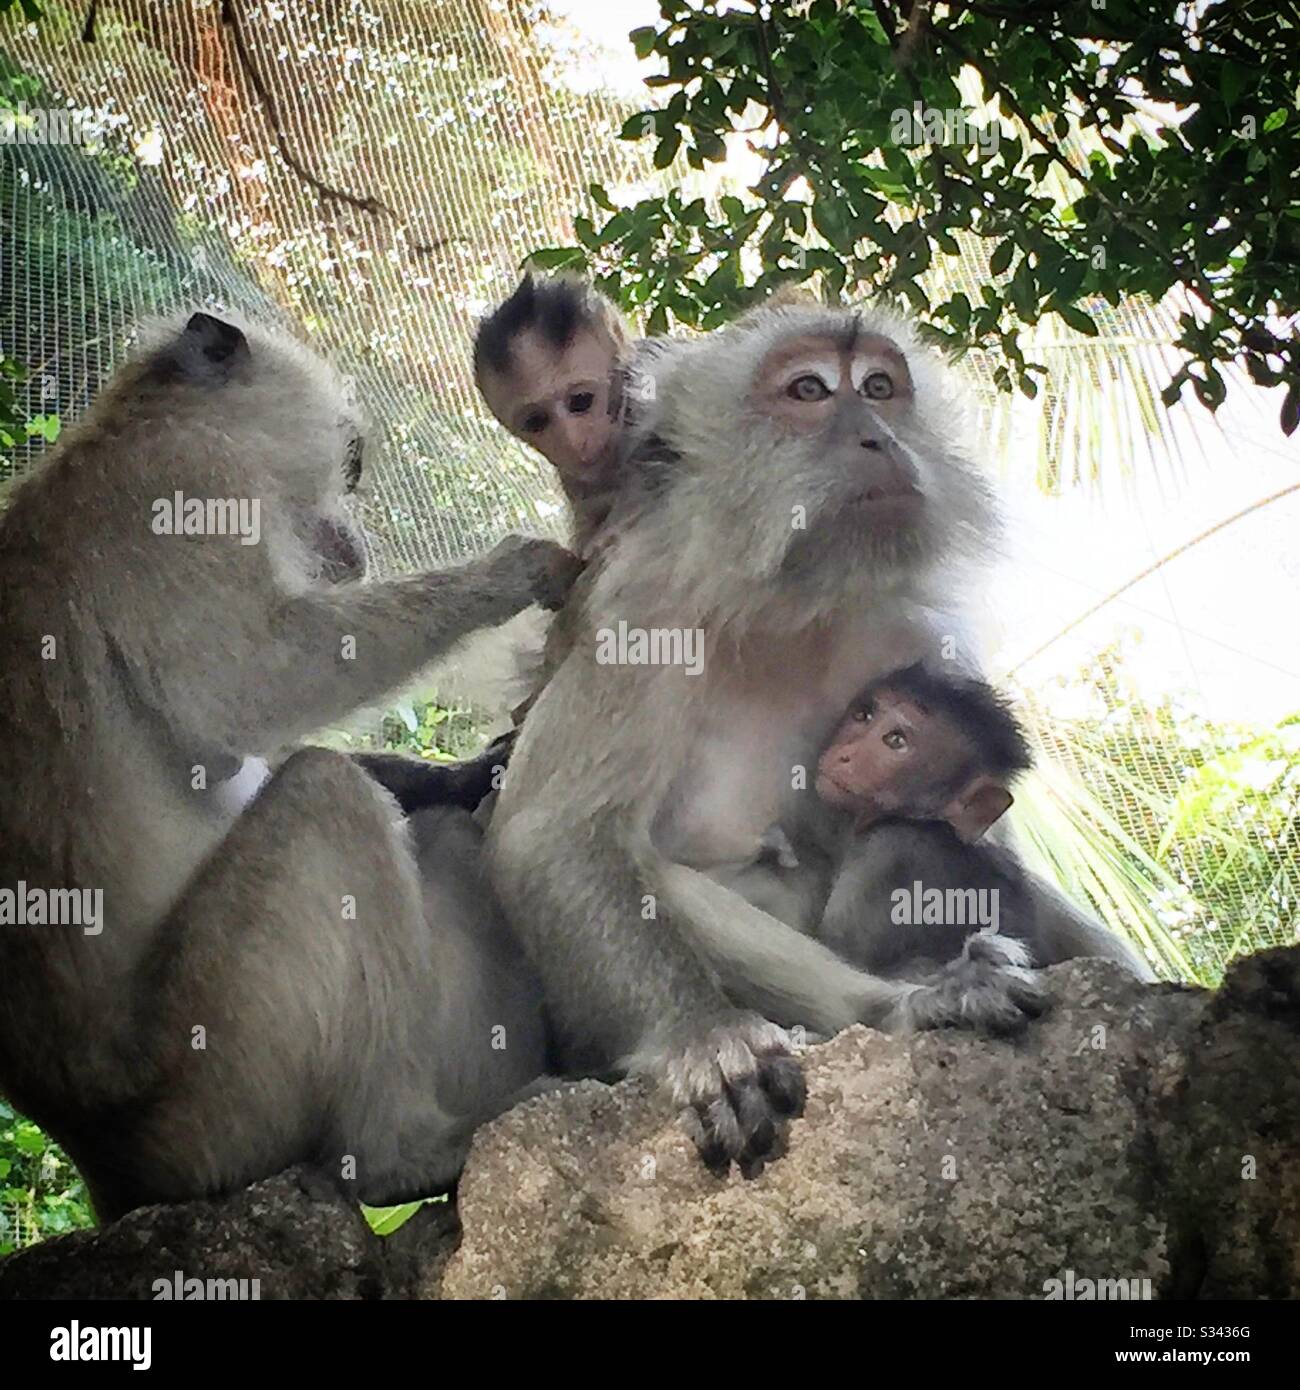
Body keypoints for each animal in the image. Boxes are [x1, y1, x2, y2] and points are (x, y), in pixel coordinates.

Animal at [0, 310, 580, 1221]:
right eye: (350, 464)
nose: (356, 543)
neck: (120, 426)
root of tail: (116, 1178)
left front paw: (467, 773)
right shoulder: (183, 494)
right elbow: (253, 683)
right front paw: (508, 572)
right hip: (224, 1082)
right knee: (325, 798)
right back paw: (404, 1153)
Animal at [488, 296, 1055, 1174]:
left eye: (881, 388)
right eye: (811, 389)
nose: (879, 438)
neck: (791, 604)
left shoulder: (913, 630)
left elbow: (978, 827)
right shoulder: (644, 612)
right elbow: (551, 836)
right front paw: (705, 1038)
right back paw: (897, 1008)